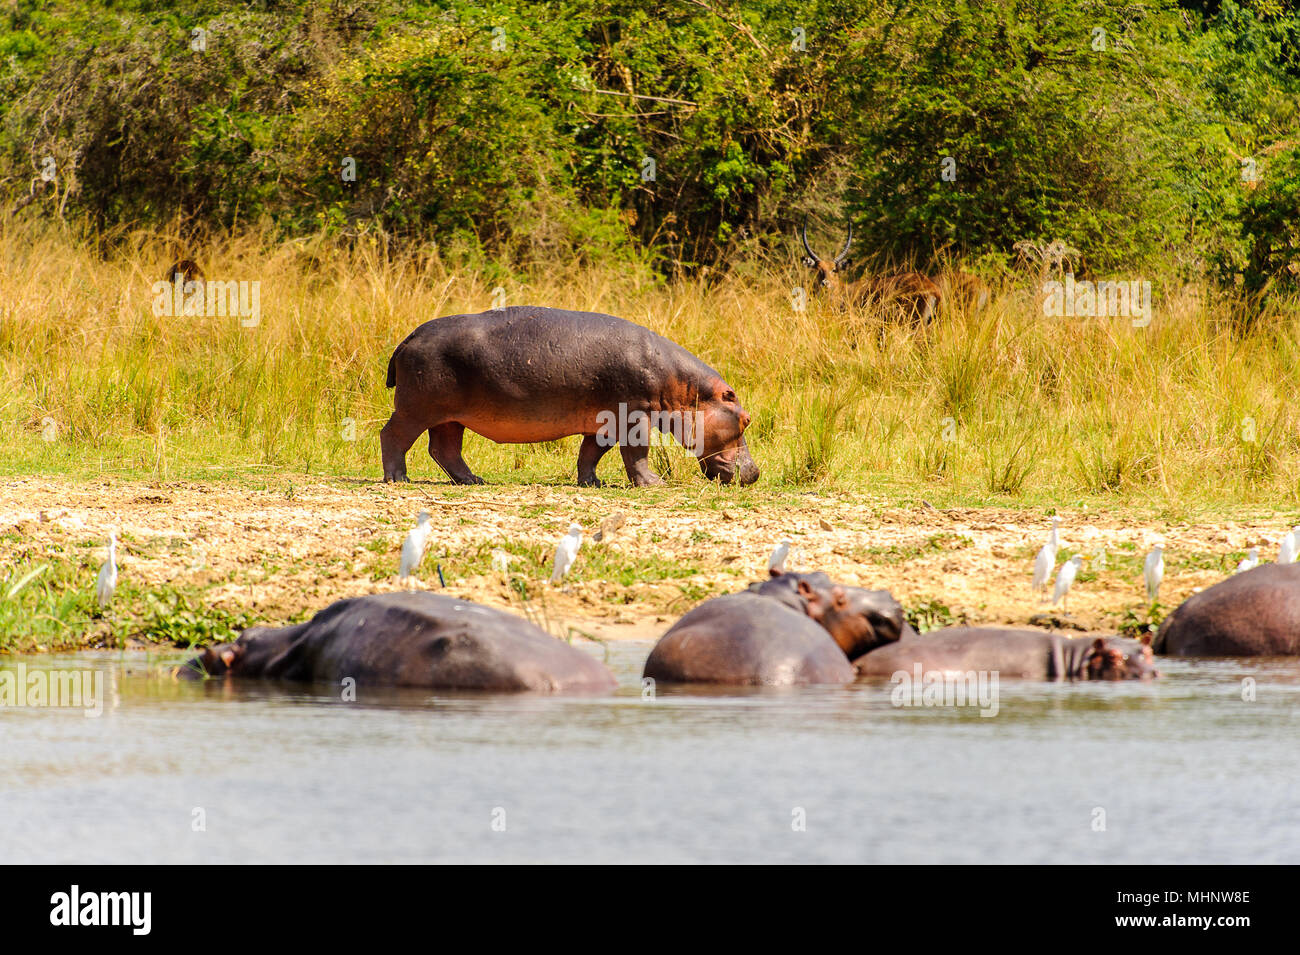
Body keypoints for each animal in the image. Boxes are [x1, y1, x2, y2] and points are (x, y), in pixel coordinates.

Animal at [380, 306, 759, 487]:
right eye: (745, 419)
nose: (755, 472)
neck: (683, 386)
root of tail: (408, 337)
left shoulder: (604, 423)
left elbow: (591, 453)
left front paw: (592, 483)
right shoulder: (634, 417)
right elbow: (637, 453)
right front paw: (654, 483)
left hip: (450, 416)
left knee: (444, 449)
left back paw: (473, 480)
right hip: (416, 408)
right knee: (394, 435)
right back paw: (398, 479)